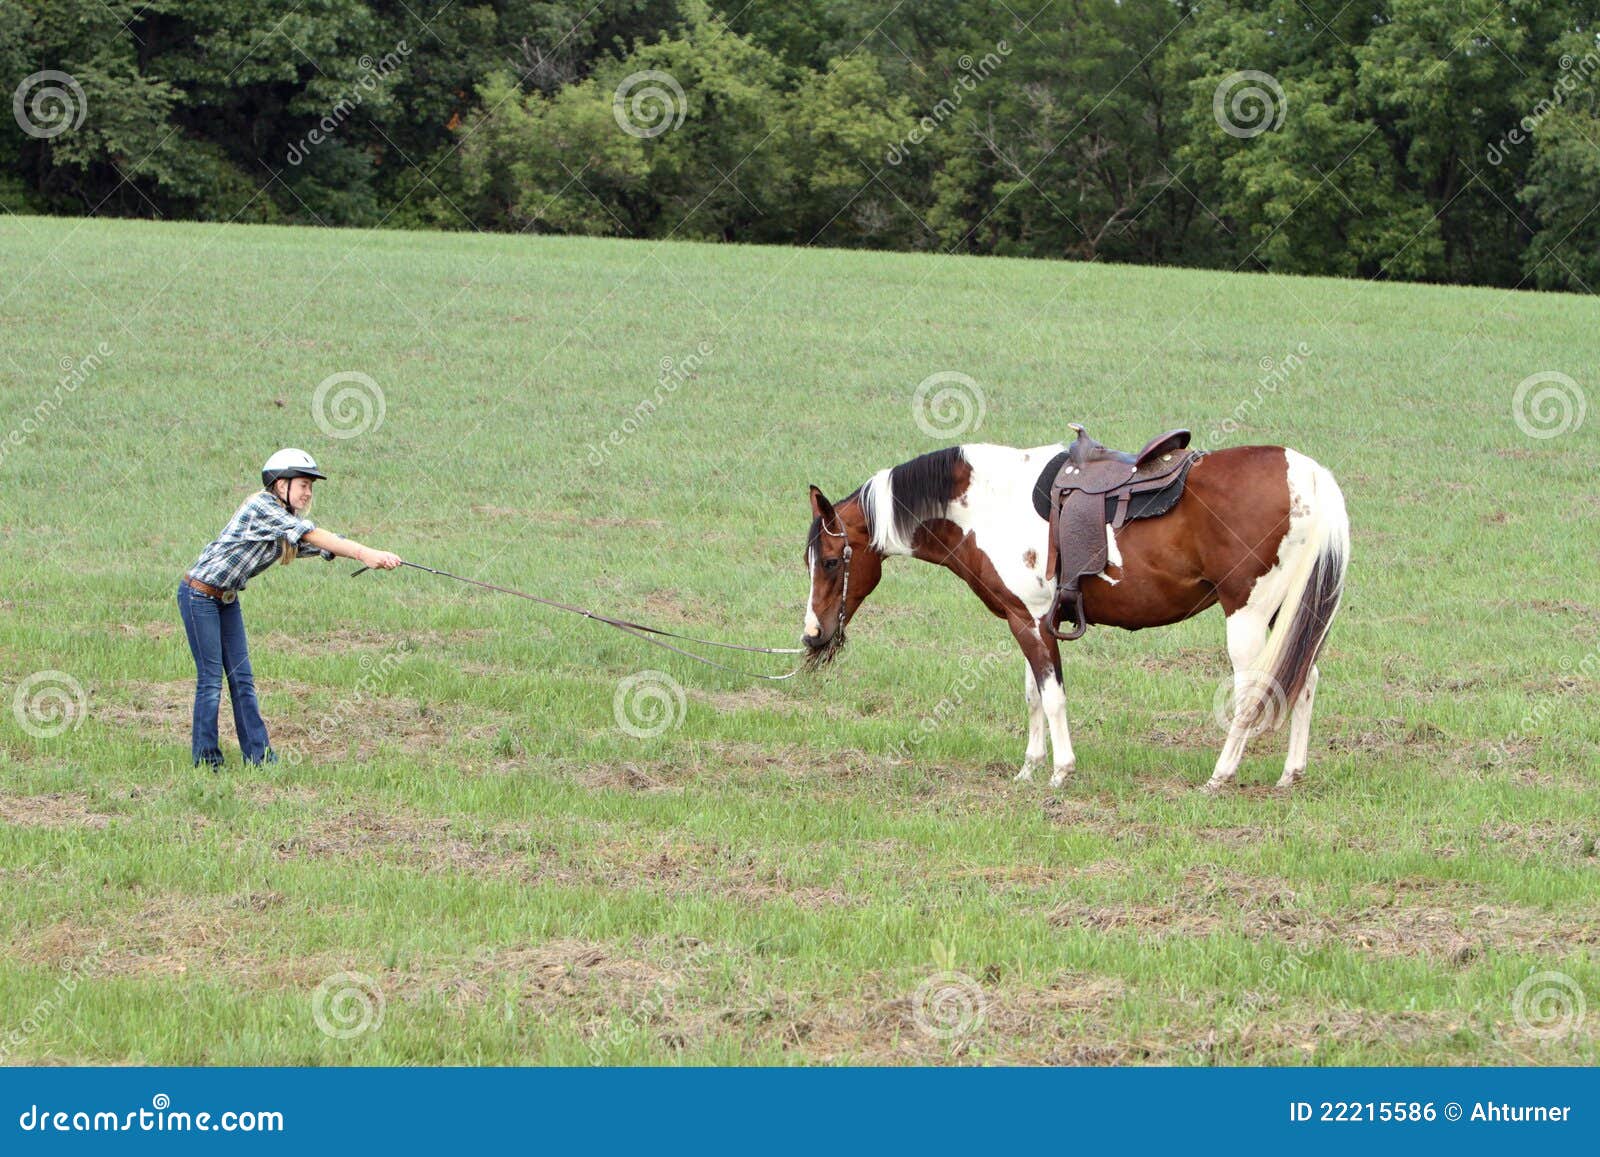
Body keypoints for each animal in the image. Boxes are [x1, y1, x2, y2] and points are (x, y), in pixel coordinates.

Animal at [800, 440, 1349, 792]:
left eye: (829, 561)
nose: (812, 636)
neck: (987, 503)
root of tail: (1308, 474)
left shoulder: (1030, 621)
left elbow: (1053, 697)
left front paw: (1060, 771)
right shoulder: (1026, 620)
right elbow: (1033, 696)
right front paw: (1028, 769)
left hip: (1249, 616)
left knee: (1255, 691)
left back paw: (1221, 774)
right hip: (1287, 613)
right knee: (1305, 681)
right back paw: (1290, 775)